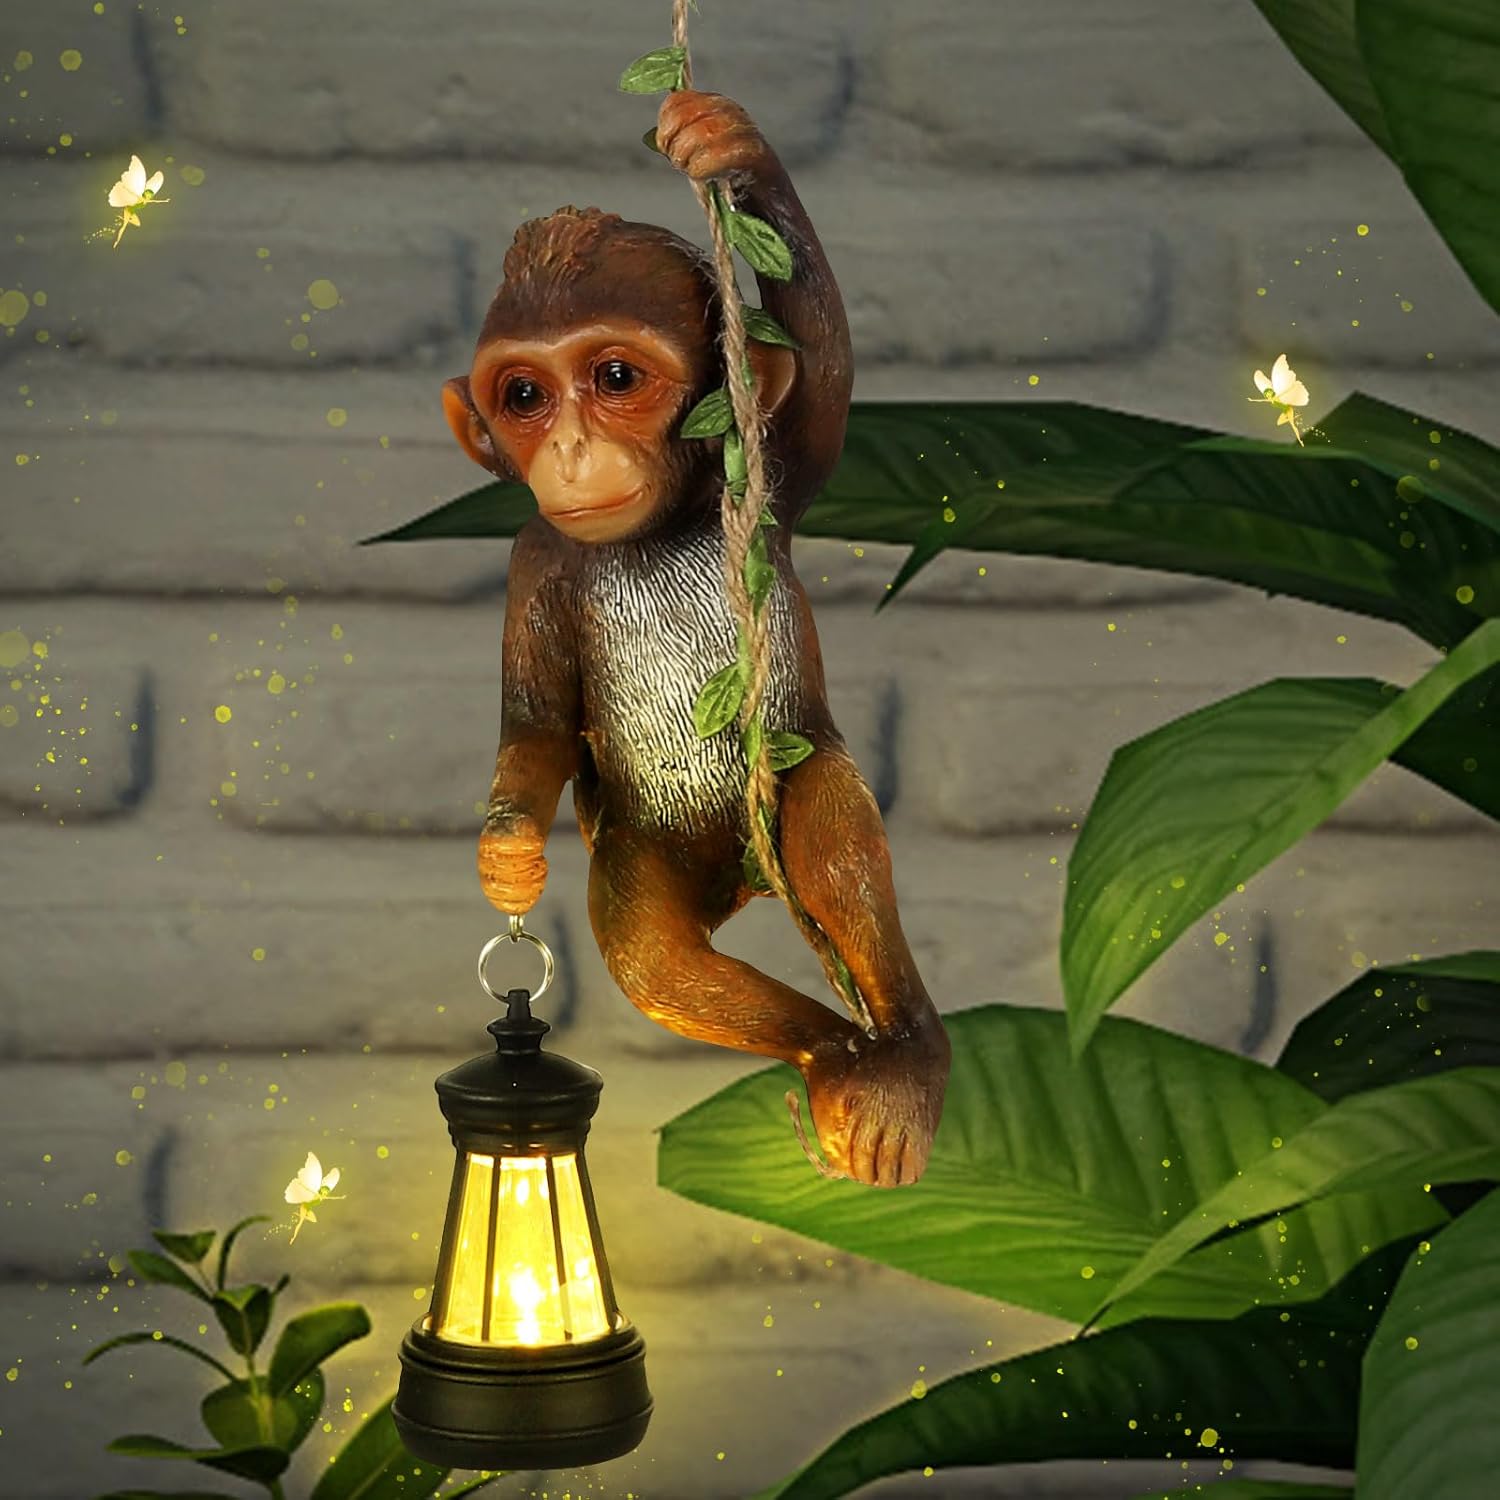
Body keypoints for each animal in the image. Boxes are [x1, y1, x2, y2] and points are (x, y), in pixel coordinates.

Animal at [441, 89, 950, 1188]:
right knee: (654, 950)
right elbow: (535, 726)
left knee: (830, 818)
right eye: (524, 396)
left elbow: (825, 370)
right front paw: (506, 851)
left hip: (777, 797)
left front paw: (728, 144)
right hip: (653, 850)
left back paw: (897, 1060)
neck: (662, 525)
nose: (571, 448)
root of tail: (740, 885)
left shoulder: (774, 475)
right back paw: (828, 1050)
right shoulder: (536, 562)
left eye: (614, 376)